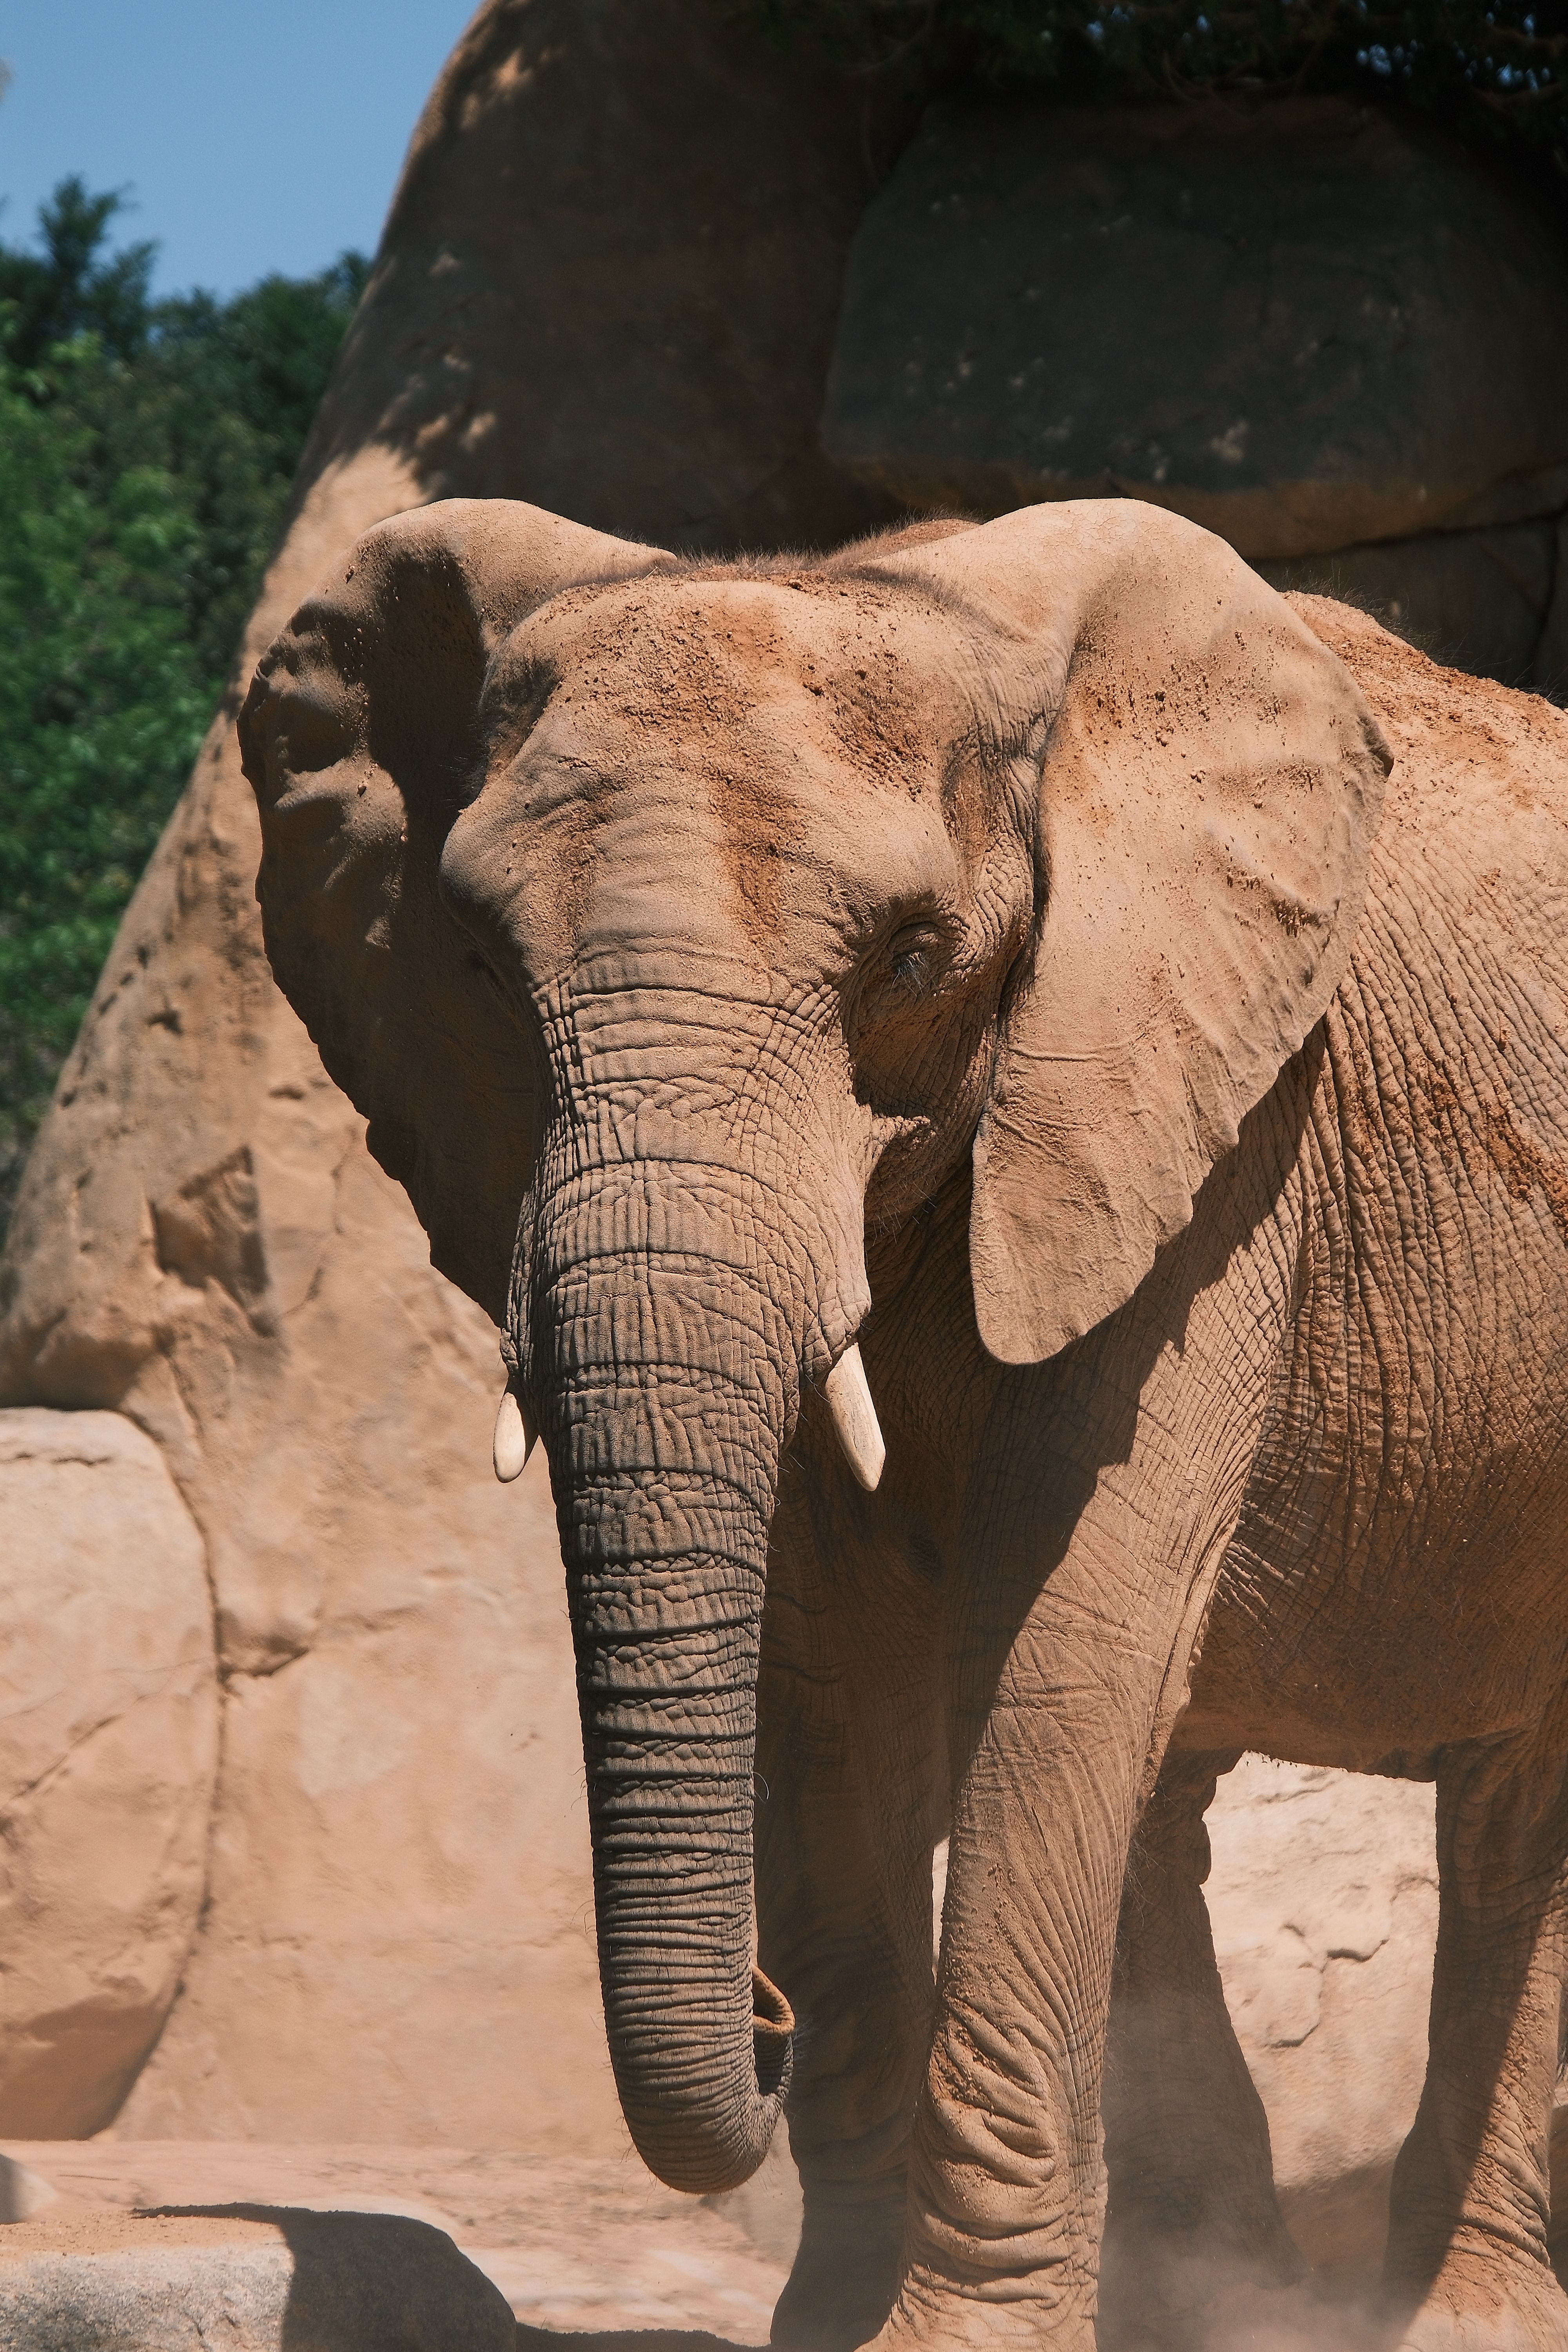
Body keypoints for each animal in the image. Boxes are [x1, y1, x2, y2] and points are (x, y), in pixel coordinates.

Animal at [238, 490, 1568, 2351]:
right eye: (484, 969)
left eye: (910, 960)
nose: (757, 2024)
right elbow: (823, 1670)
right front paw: (841, 2322)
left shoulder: (1217, 1137)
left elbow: (1060, 1647)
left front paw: (959, 2339)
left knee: (1510, 1804)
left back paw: (1454, 2320)